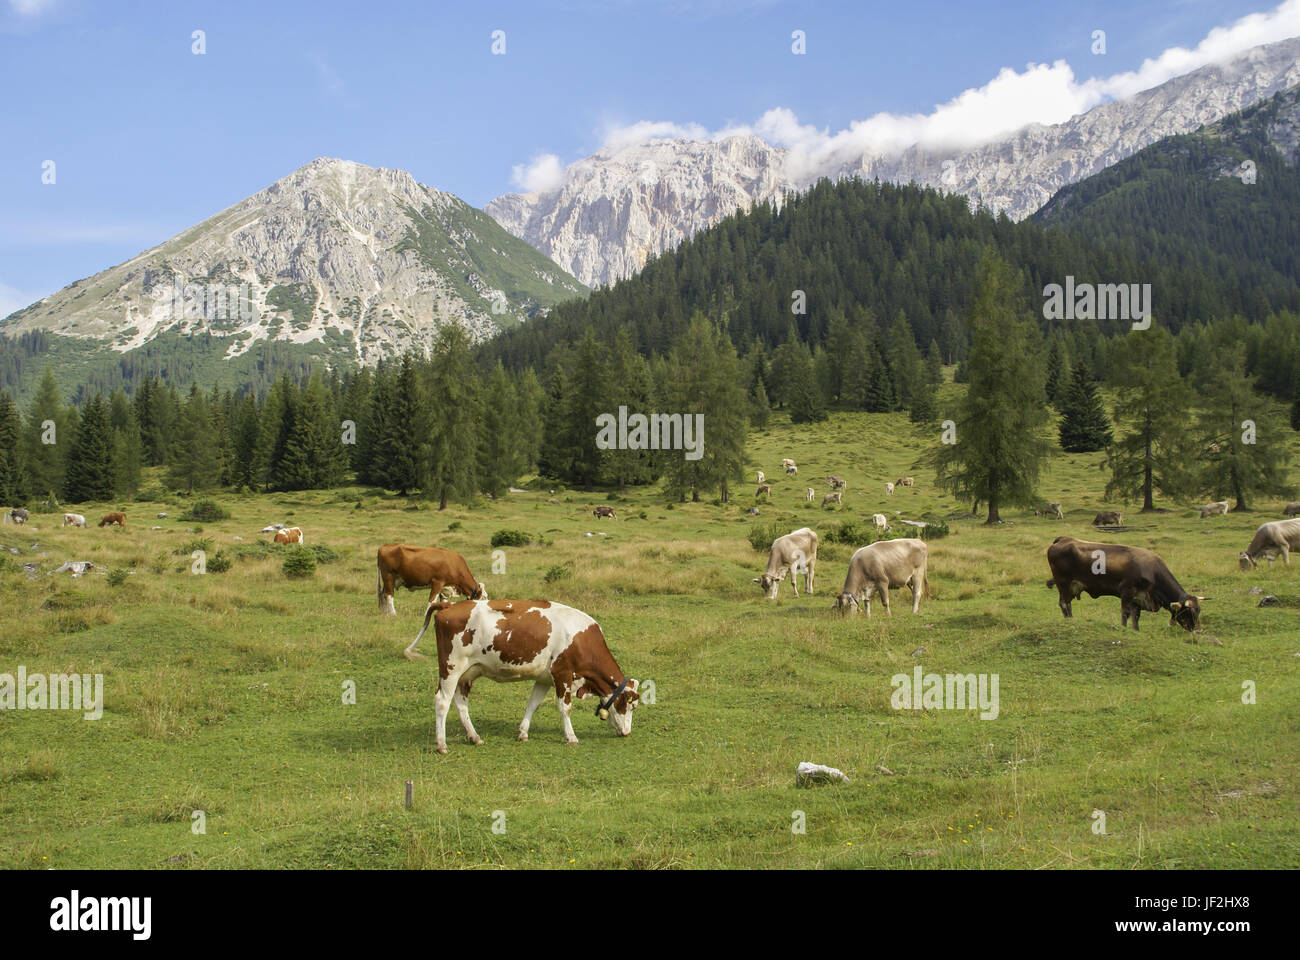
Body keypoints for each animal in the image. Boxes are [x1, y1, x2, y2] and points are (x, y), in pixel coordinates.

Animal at [429, 598, 639, 753]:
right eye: (630, 706)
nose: (628, 733)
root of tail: (449, 605)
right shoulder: (562, 674)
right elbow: (565, 708)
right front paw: (571, 737)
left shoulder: (544, 678)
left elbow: (533, 704)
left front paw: (523, 733)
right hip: (451, 668)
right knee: (442, 701)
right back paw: (442, 744)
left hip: (466, 674)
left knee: (460, 703)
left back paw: (474, 737)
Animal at [1046, 536, 1204, 632]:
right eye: (1189, 611)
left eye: (1199, 611)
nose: (1196, 630)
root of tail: (1064, 539)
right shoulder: (1127, 591)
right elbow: (1125, 613)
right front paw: (1123, 628)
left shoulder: (1138, 598)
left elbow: (1135, 616)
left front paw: (1136, 630)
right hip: (1063, 582)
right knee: (1064, 603)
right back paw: (1069, 620)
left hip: (1072, 586)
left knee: (1068, 604)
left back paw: (1071, 619)